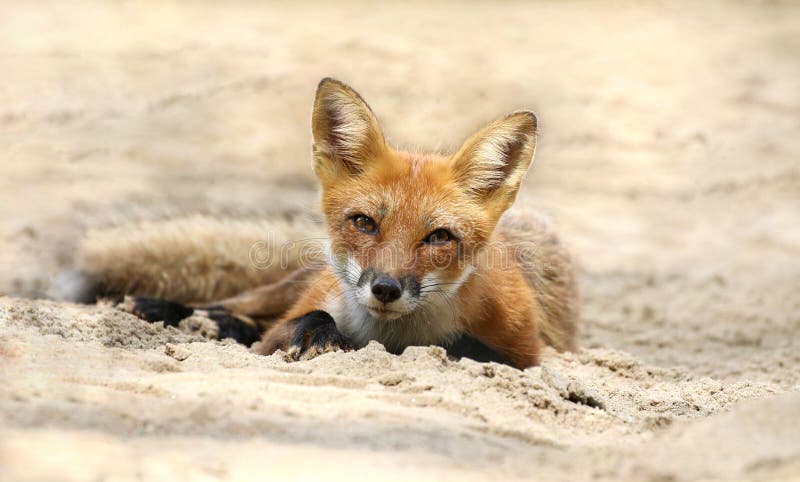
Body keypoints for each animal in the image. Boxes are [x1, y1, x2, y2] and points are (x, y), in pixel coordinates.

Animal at [63, 78, 578, 369]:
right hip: (290, 286)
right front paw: (320, 336)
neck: (385, 334)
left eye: (439, 237)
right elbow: (301, 321)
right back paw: (174, 311)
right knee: (237, 305)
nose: (385, 288)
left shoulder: (527, 351)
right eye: (364, 223)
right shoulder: (282, 329)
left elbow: (472, 347)